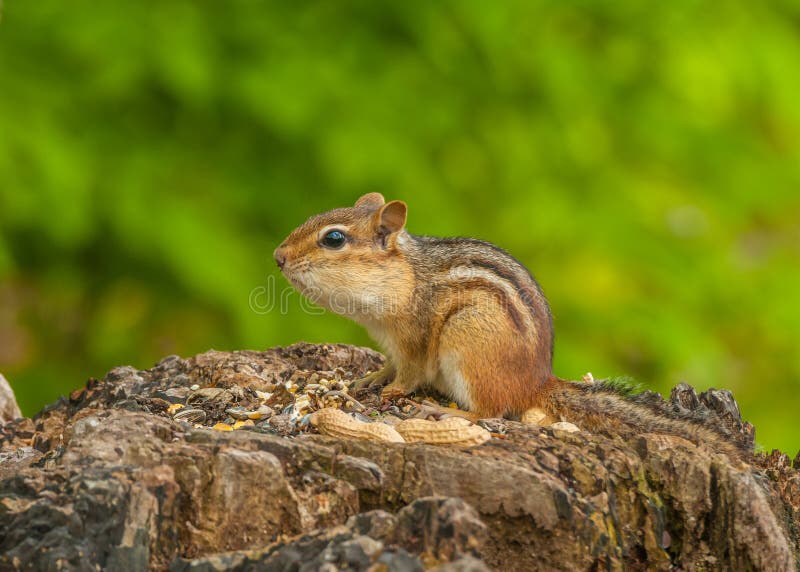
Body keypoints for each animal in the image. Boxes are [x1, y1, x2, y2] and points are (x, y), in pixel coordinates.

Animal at [274, 193, 747, 460]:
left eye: (334, 239)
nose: (278, 257)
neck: (405, 278)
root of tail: (537, 382)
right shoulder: (390, 342)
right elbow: (388, 365)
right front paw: (369, 377)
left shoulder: (413, 339)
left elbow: (409, 374)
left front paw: (392, 392)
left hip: (466, 343)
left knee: (490, 409)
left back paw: (444, 412)